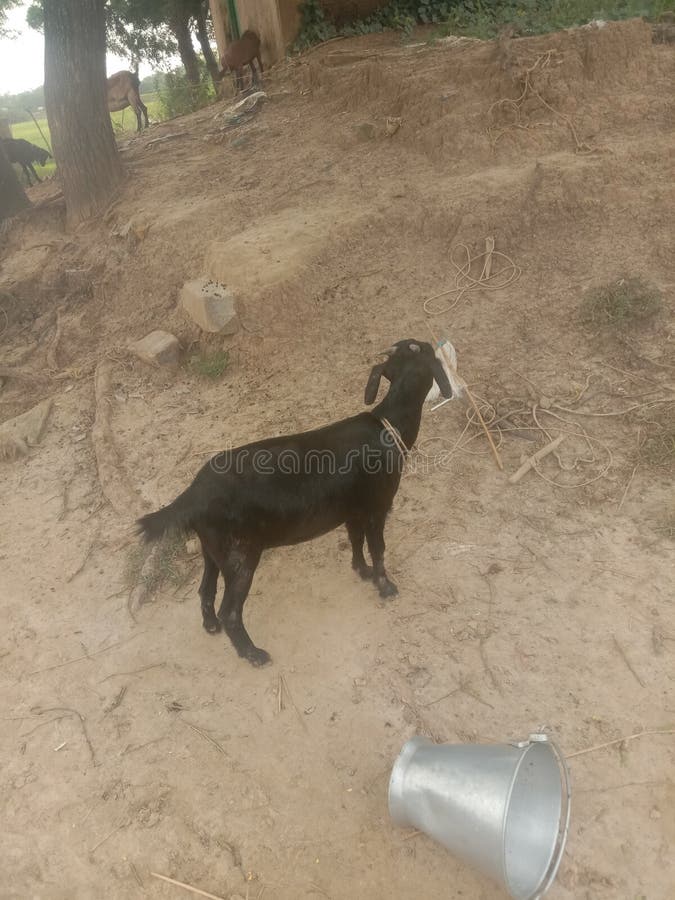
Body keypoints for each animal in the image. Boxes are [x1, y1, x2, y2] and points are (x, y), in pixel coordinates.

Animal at [137, 340, 452, 667]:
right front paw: (385, 586)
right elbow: (378, 548)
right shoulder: (377, 508)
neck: (388, 427)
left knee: (205, 589)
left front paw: (361, 571)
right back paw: (253, 653)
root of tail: (193, 494)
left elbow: (355, 540)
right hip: (240, 556)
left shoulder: (353, 511)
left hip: (212, 549)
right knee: (231, 612)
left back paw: (210, 624)